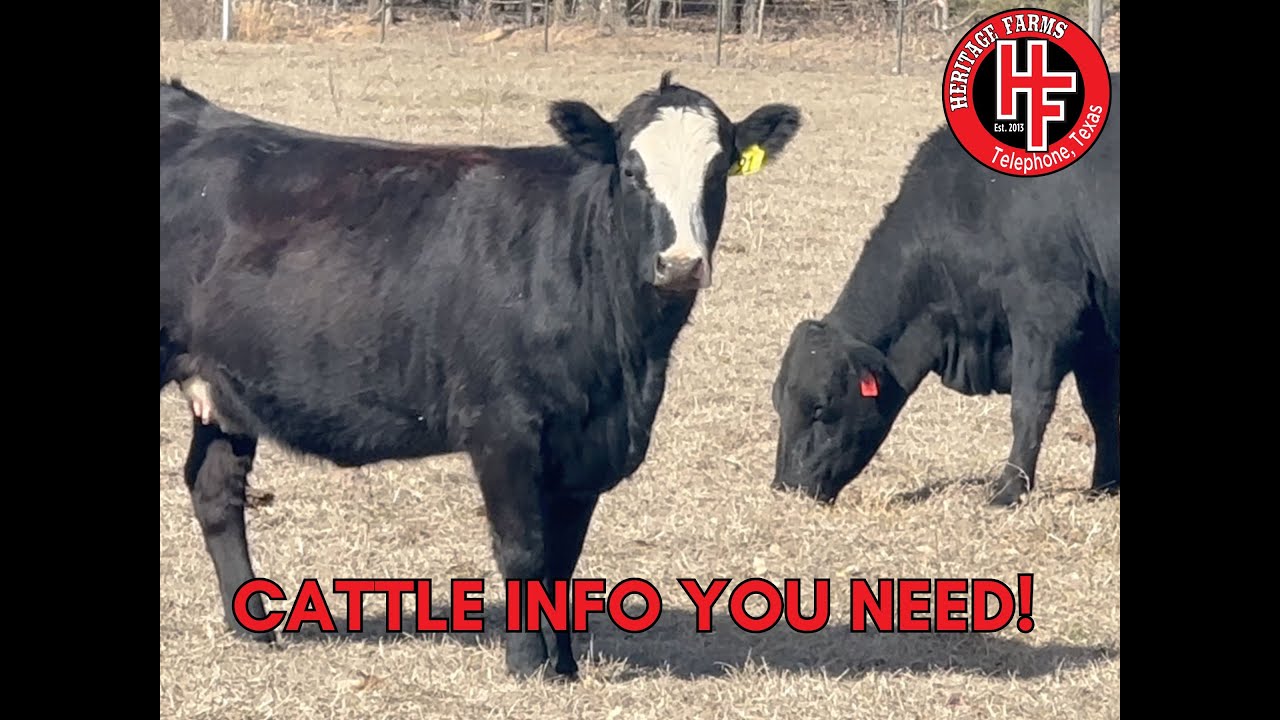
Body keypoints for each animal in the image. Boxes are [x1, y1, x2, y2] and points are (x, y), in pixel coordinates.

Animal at [159, 72, 801, 680]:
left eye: (719, 171)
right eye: (630, 169)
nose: (682, 264)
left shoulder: (585, 445)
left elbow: (563, 562)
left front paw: (564, 666)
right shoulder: (503, 430)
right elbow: (523, 552)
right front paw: (527, 664)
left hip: (223, 388)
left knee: (215, 490)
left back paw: (255, 629)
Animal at [770, 72, 1119, 509]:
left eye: (820, 407)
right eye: (778, 401)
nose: (786, 488)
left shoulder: (1047, 315)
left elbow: (1029, 405)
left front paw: (1008, 490)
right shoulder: (1094, 336)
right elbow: (1100, 408)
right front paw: (1104, 486)